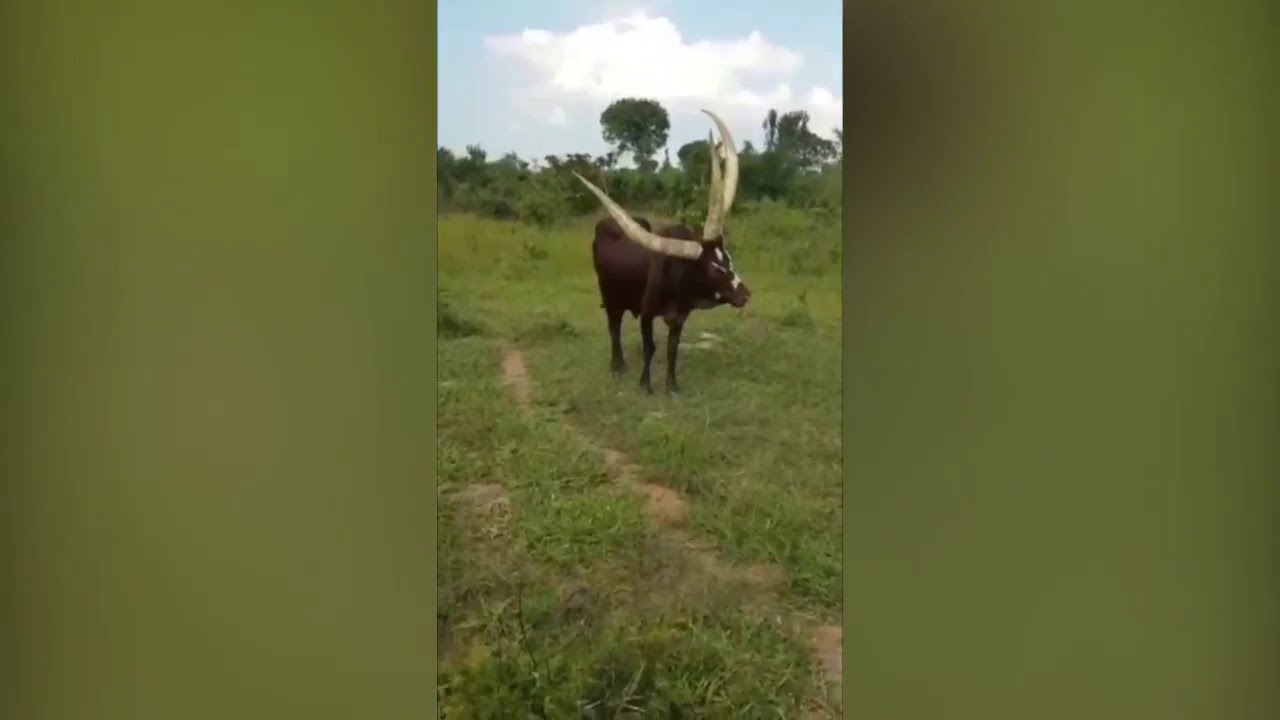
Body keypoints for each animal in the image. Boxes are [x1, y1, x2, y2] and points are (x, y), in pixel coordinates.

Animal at [572, 109, 751, 397]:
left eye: (728, 259)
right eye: (713, 268)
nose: (745, 295)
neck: (678, 276)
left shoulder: (679, 317)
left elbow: (671, 349)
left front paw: (672, 386)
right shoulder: (646, 314)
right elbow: (650, 348)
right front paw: (645, 385)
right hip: (610, 296)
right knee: (614, 327)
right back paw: (617, 366)